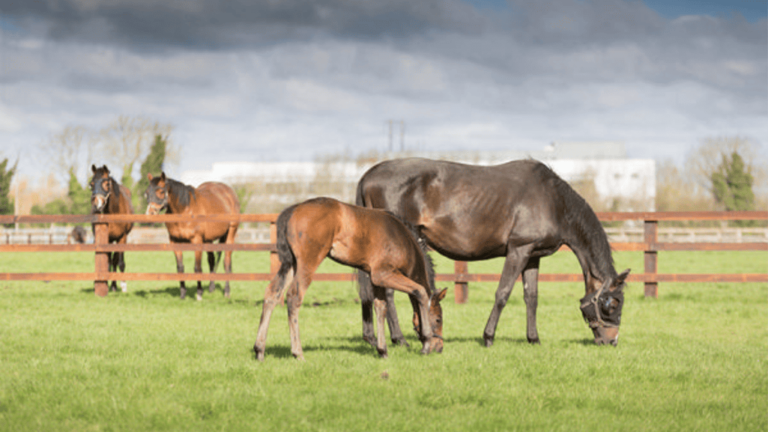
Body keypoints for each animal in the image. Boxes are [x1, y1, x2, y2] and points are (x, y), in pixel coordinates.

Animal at [144, 172, 240, 301]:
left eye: (160, 191)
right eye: (147, 192)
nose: (149, 214)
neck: (185, 210)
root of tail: (229, 192)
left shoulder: (197, 241)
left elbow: (197, 268)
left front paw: (199, 294)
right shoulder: (175, 242)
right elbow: (180, 268)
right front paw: (183, 294)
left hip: (230, 234)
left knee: (227, 262)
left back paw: (227, 291)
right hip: (208, 240)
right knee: (212, 260)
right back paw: (211, 288)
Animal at [254, 197, 447, 361]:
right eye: (438, 319)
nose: (439, 347)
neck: (404, 239)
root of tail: (293, 210)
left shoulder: (377, 279)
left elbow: (381, 307)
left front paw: (382, 351)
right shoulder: (384, 274)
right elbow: (420, 292)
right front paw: (426, 342)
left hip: (290, 264)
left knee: (271, 294)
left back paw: (259, 350)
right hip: (308, 262)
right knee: (294, 296)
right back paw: (297, 352)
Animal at [356, 158, 630, 347]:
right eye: (611, 303)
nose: (612, 340)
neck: (554, 201)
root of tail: (368, 174)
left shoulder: (533, 255)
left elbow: (532, 297)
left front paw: (534, 339)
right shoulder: (519, 250)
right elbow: (503, 293)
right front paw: (488, 337)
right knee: (388, 292)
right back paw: (398, 338)